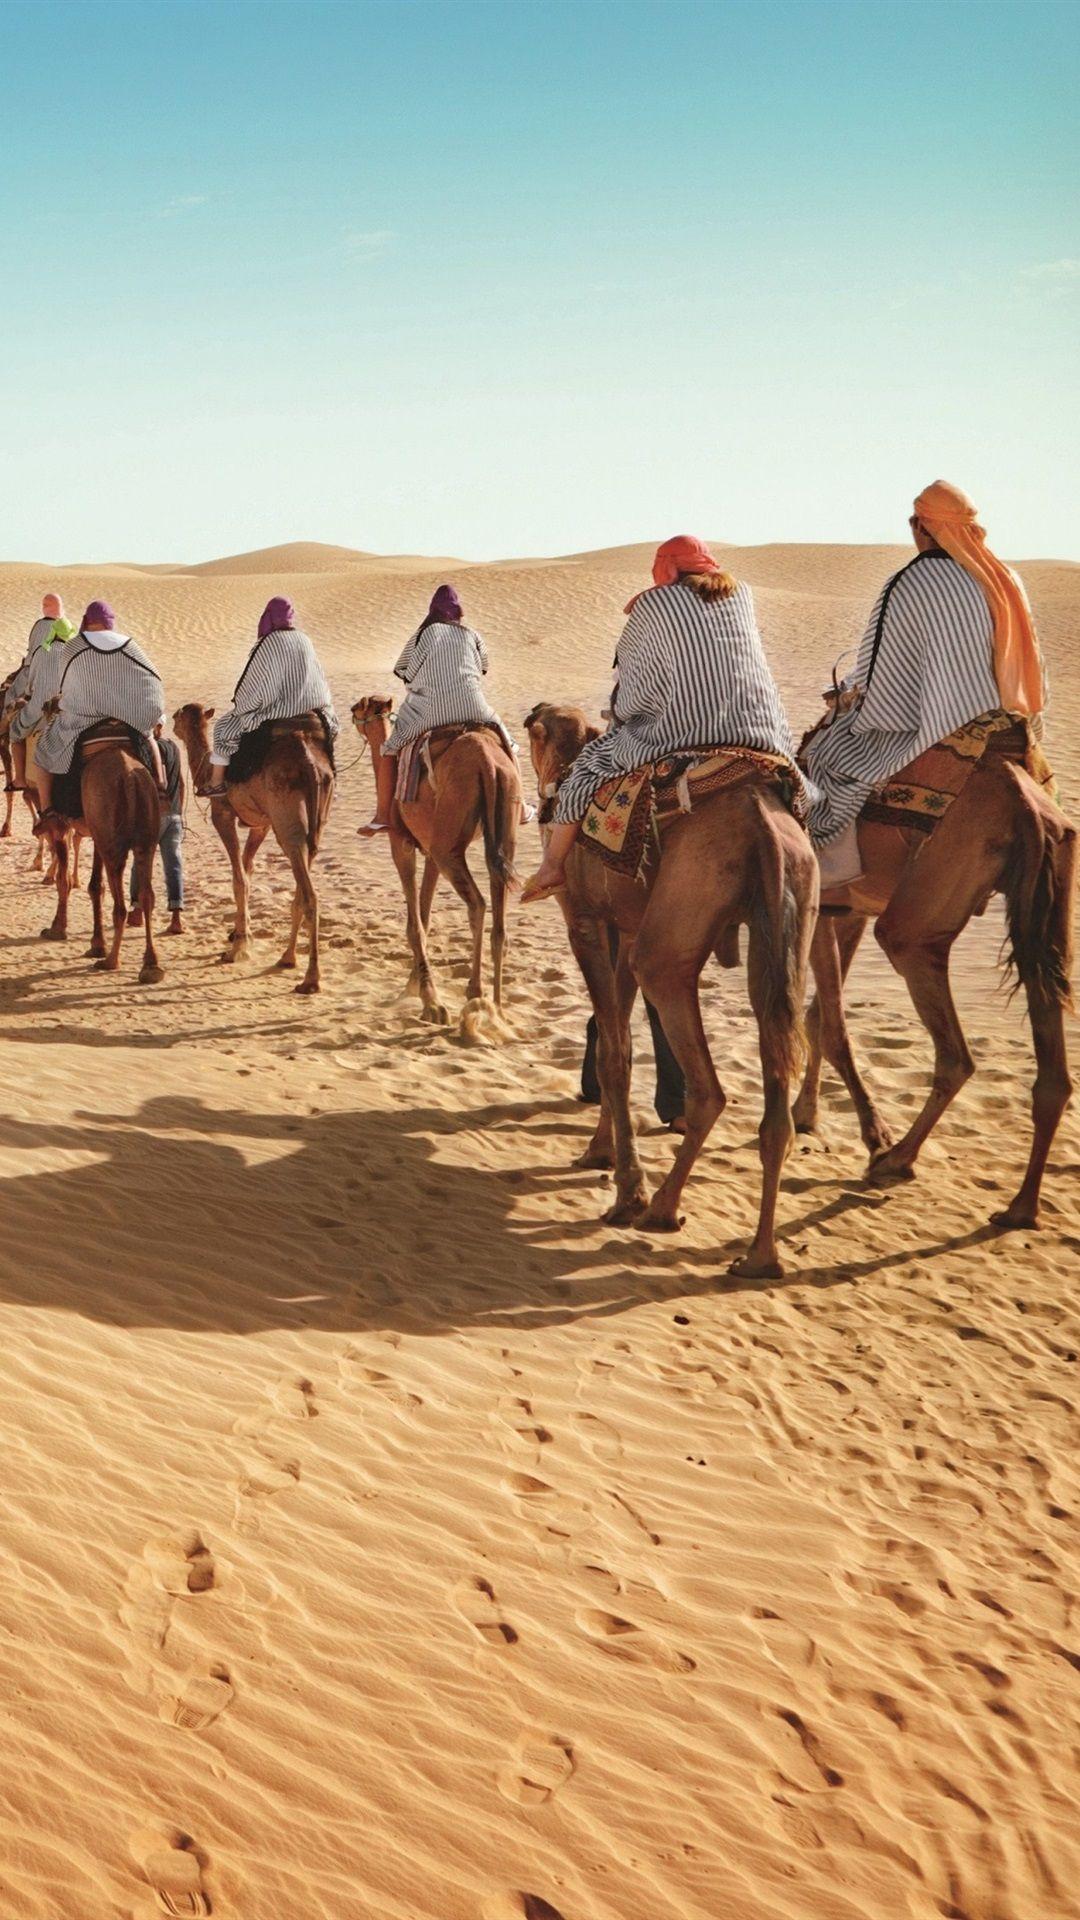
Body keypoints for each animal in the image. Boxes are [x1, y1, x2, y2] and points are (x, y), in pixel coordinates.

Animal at [36, 726, 165, 982]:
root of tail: (130, 778)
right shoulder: (97, 832)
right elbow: (96, 886)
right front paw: (96, 944)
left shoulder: (61, 827)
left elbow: (63, 880)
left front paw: (56, 929)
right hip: (142, 837)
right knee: (147, 895)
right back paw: (150, 966)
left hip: (112, 840)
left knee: (121, 905)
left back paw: (111, 961)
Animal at [173, 703, 333, 994]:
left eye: (179, 716)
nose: (169, 724)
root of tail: (310, 764)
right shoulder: (261, 824)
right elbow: (248, 870)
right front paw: (239, 933)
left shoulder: (223, 814)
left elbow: (239, 879)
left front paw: (236, 949)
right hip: (317, 820)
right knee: (303, 879)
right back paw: (287, 958)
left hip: (285, 816)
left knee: (309, 892)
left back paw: (311, 979)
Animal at [351, 696, 518, 1022]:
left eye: (361, 708)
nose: (351, 712)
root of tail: (488, 763)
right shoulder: (429, 851)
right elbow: (425, 918)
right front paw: (413, 986)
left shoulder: (402, 843)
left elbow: (415, 923)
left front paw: (430, 1001)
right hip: (503, 826)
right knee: (499, 920)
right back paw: (497, 1008)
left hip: (448, 844)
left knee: (477, 904)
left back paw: (475, 992)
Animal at [524, 703, 819, 1277]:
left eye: (534, 728)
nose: (531, 712)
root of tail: (763, 827)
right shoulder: (627, 921)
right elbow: (619, 1040)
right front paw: (600, 1153)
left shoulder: (586, 919)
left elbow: (614, 1052)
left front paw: (626, 1191)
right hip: (790, 913)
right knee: (775, 1052)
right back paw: (760, 1257)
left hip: (678, 919)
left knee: (708, 1085)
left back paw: (659, 1209)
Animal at [793, 720, 1076, 1229]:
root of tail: (1026, 802)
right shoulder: (849, 908)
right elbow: (820, 1017)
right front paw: (806, 1115)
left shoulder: (826, 904)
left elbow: (832, 1029)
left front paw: (873, 1134)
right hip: (1050, 901)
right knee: (1053, 1076)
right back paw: (1021, 1208)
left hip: (914, 928)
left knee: (955, 1056)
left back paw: (896, 1159)